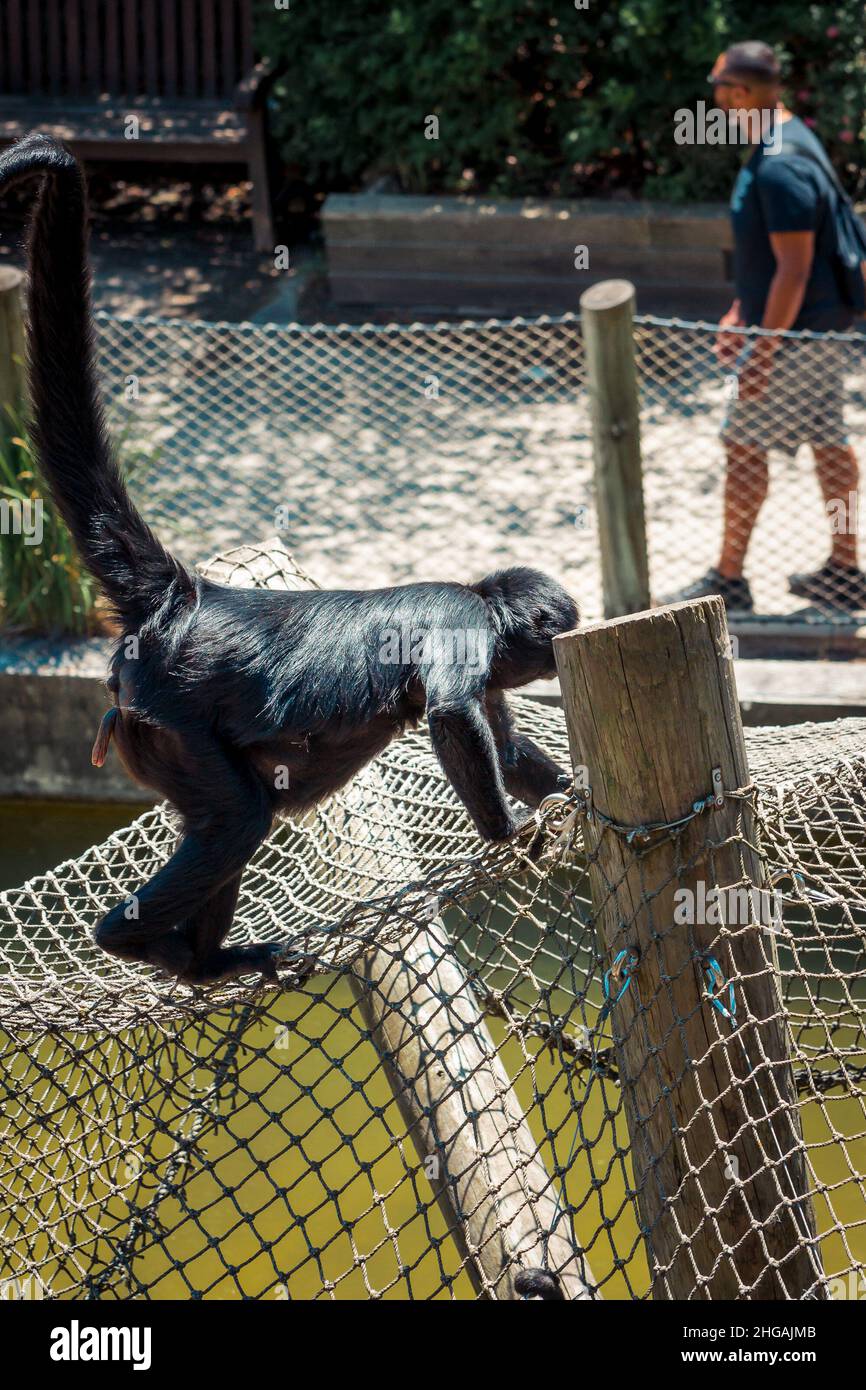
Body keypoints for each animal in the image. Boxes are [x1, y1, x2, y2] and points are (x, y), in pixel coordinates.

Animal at [0, 134, 579, 986]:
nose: (562, 656)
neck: (478, 596)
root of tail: (188, 600)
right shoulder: (459, 618)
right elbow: (452, 714)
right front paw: (509, 833)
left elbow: (500, 740)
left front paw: (572, 791)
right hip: (170, 715)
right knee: (239, 817)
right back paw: (128, 939)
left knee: (232, 814)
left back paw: (206, 962)